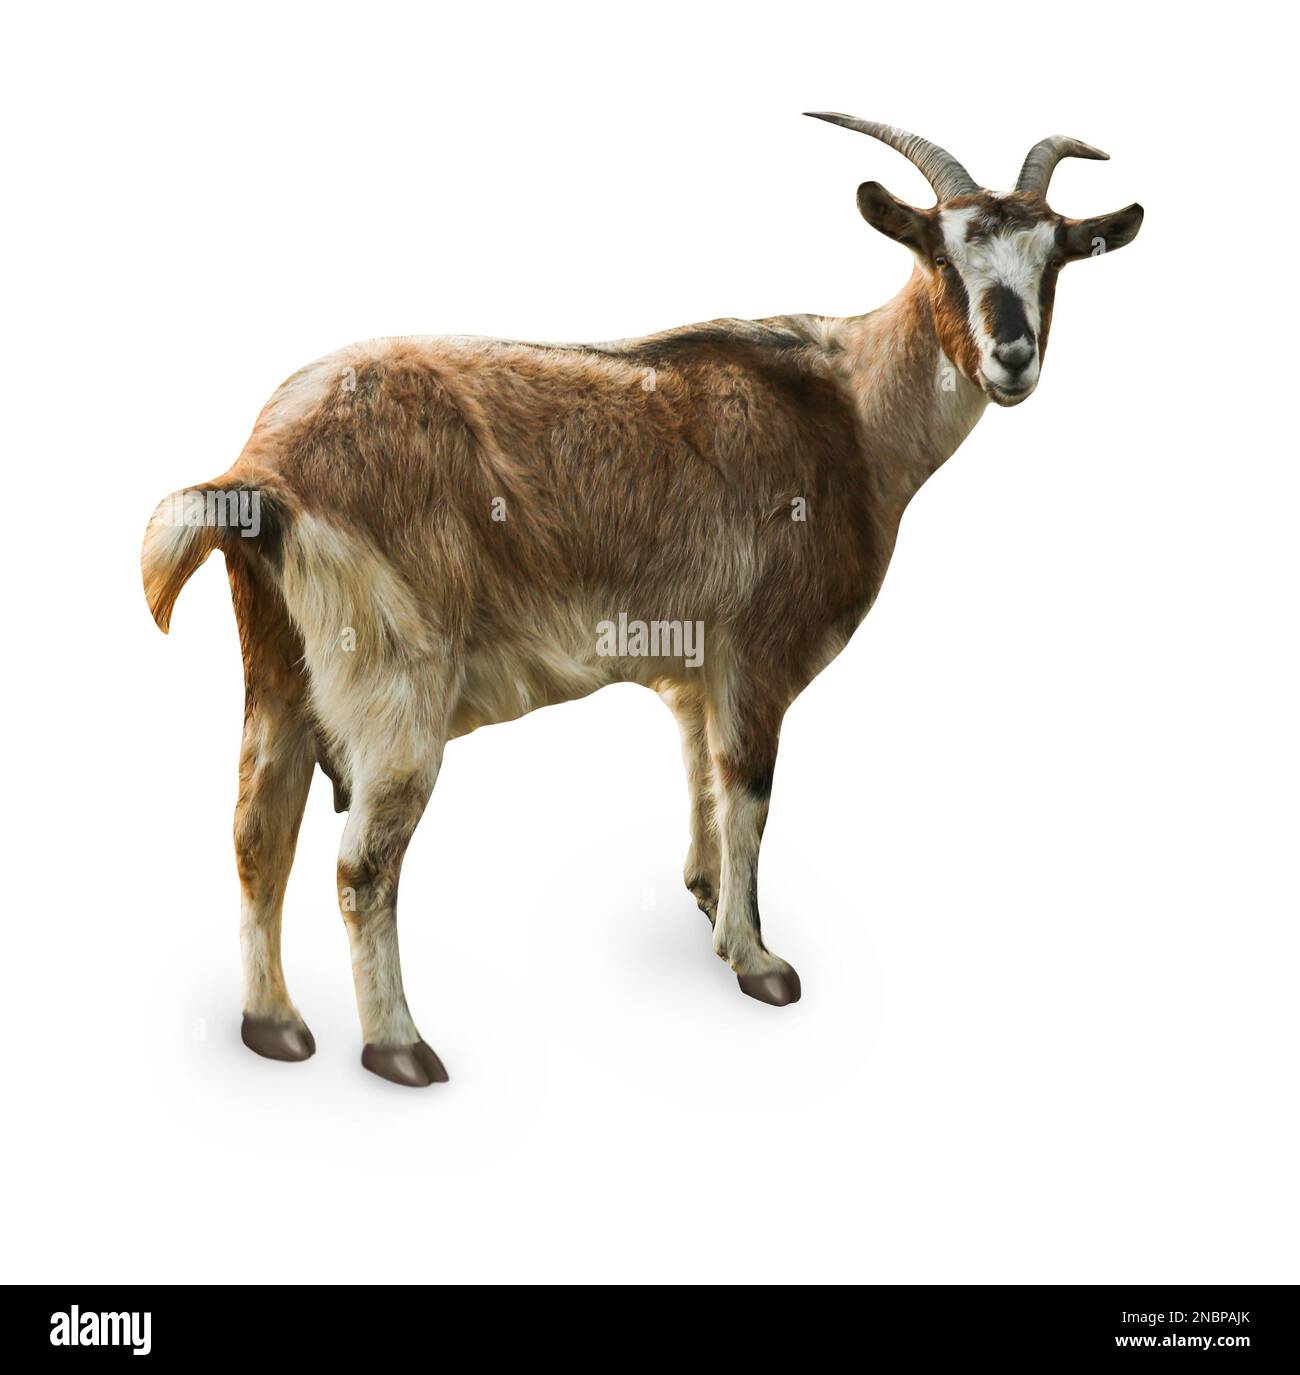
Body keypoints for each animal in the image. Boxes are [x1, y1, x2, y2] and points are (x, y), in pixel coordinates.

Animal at [142, 118, 1143, 1087]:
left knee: (256, 834)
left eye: (1056, 258)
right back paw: (400, 1048)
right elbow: (748, 788)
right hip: (394, 681)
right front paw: (758, 960)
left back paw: (274, 1027)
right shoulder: (756, 653)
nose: (1012, 357)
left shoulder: (693, 665)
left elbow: (700, 772)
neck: (848, 409)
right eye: (940, 252)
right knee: (362, 862)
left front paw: (706, 899)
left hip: (277, 667)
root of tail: (259, 473)